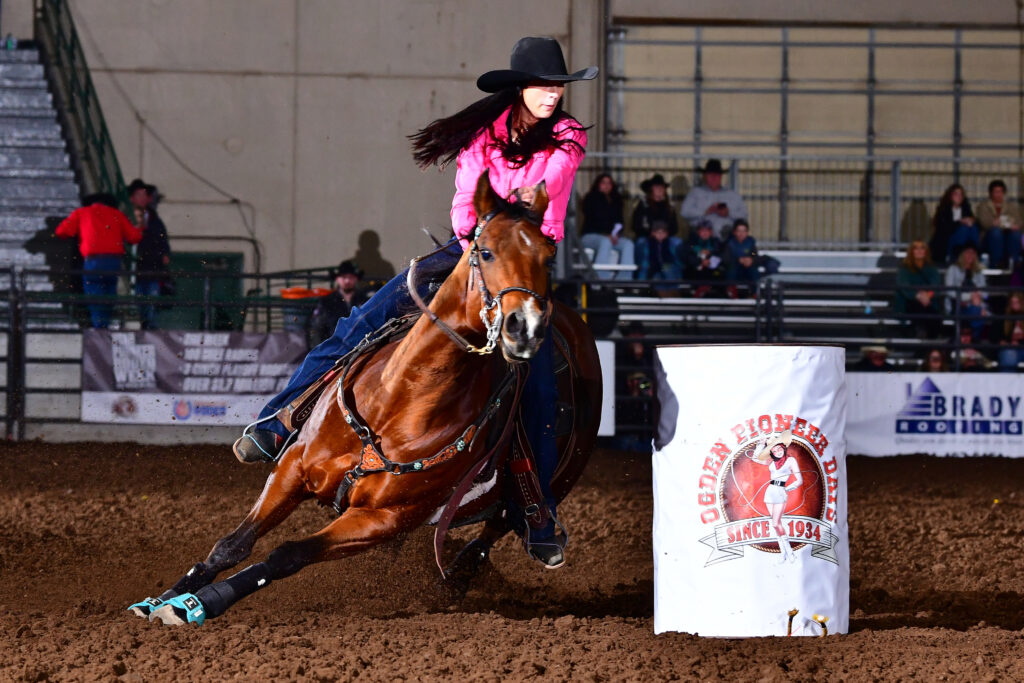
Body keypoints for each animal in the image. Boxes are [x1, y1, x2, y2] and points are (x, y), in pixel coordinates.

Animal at [129, 171, 603, 625]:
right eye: (484, 252)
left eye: (547, 258)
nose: (525, 327)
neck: (397, 404)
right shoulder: (292, 469)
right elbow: (233, 544)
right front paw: (163, 599)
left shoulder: (380, 519)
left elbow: (286, 554)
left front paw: (199, 604)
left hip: (548, 485)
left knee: (496, 530)